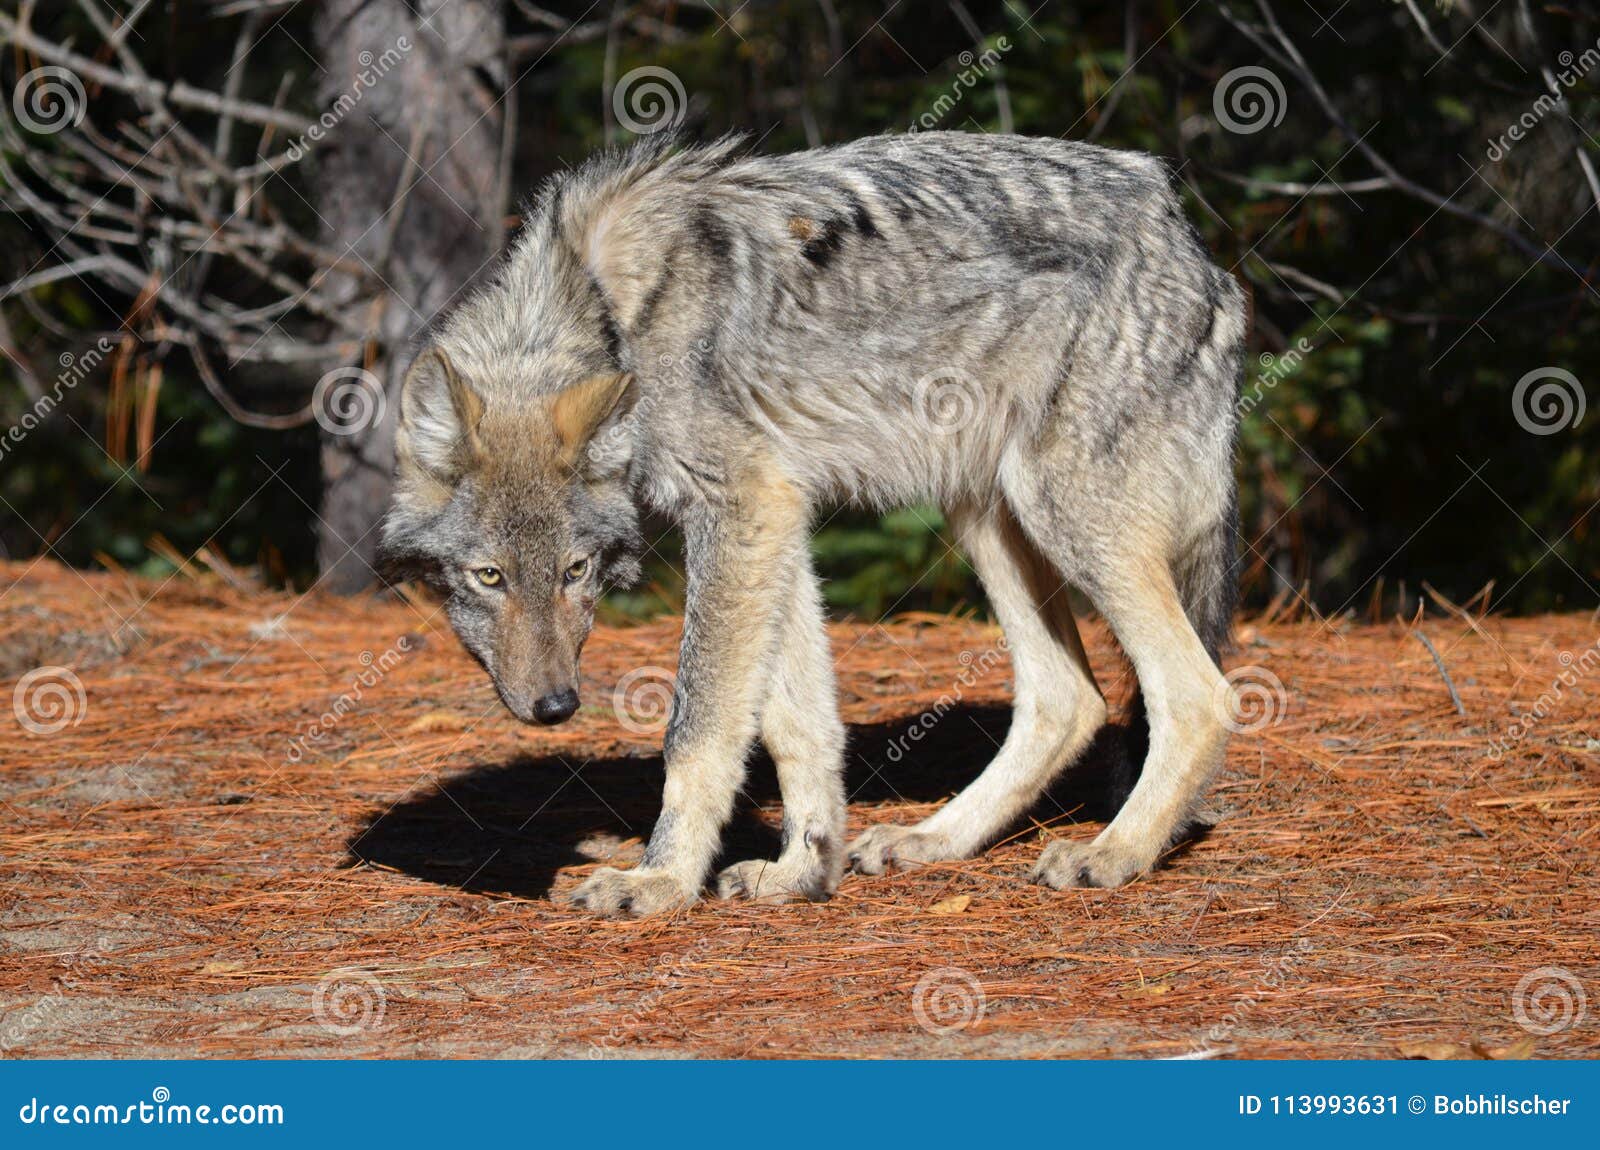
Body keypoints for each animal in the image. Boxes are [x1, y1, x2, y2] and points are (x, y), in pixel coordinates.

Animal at [378, 131, 1244, 915]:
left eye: (575, 570)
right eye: (489, 577)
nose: (557, 708)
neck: (611, 315)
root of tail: (1189, 238)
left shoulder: (740, 509)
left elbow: (698, 732)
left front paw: (660, 881)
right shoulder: (777, 521)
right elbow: (800, 729)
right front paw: (802, 870)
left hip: (1060, 513)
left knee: (1199, 695)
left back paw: (1118, 851)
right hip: (986, 516)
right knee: (1070, 700)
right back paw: (929, 839)